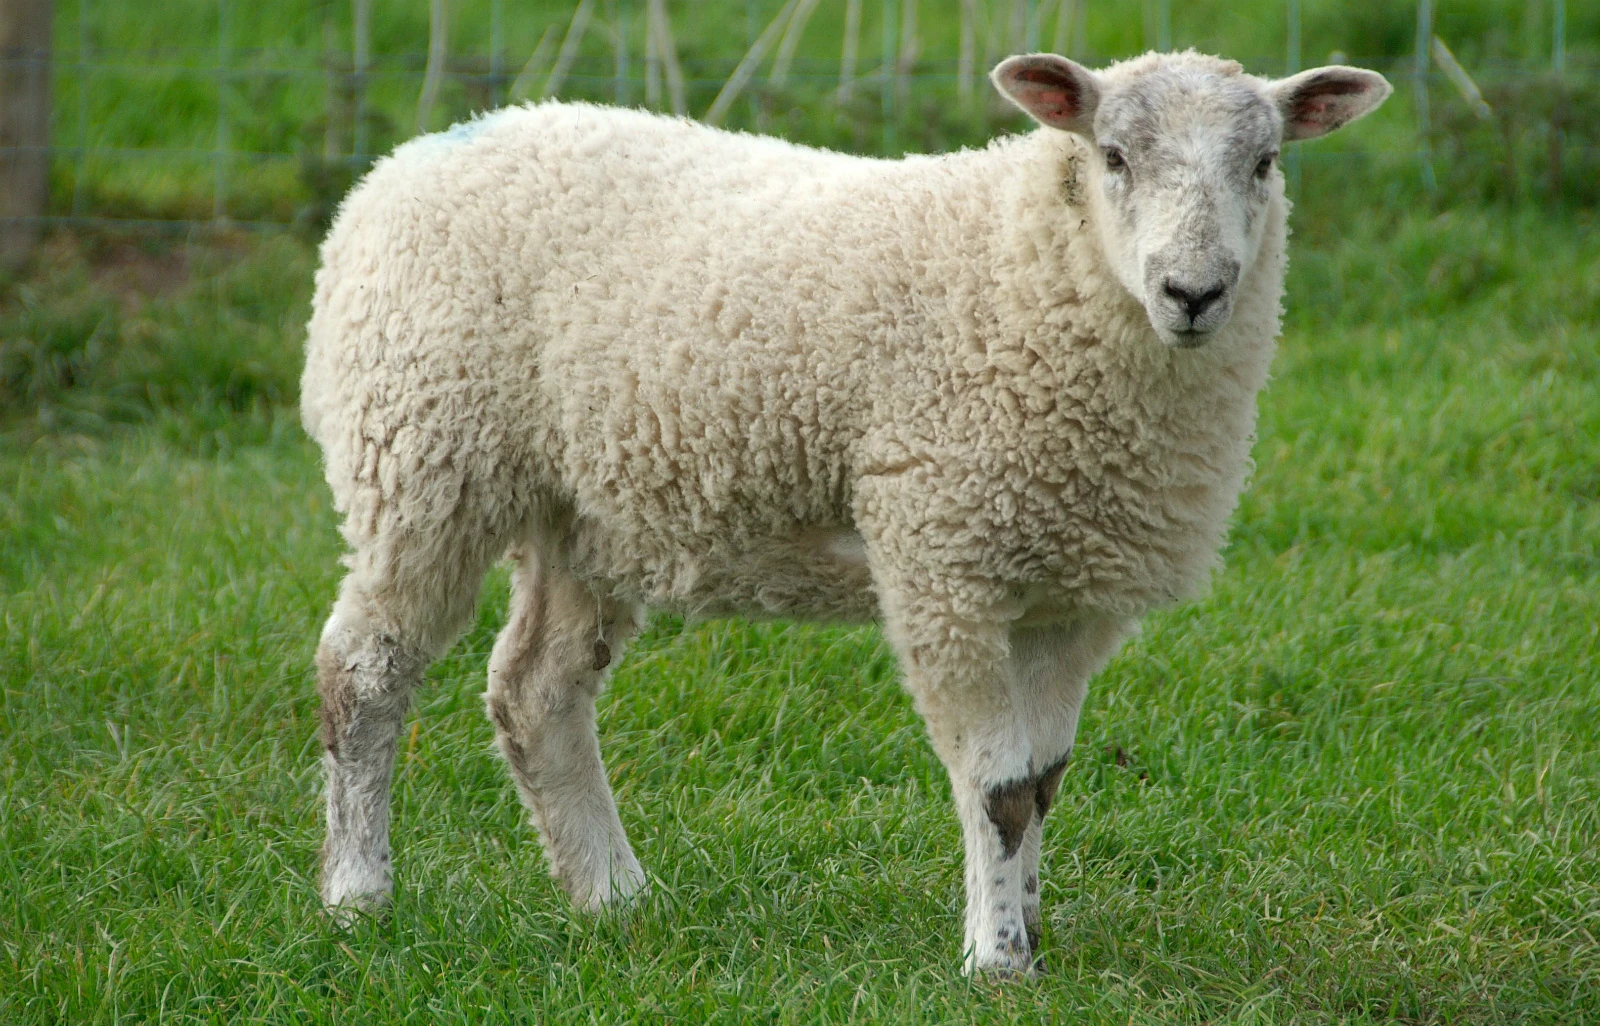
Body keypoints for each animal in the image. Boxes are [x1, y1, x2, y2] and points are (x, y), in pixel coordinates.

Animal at [300, 50, 1391, 976]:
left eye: (1264, 162)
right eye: (1113, 155)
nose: (1193, 292)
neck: (1027, 270)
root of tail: (401, 166)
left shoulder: (1072, 592)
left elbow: (1043, 780)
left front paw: (1034, 934)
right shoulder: (943, 559)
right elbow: (997, 789)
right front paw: (996, 960)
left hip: (588, 509)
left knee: (536, 691)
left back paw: (613, 896)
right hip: (423, 454)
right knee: (365, 670)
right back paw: (359, 896)